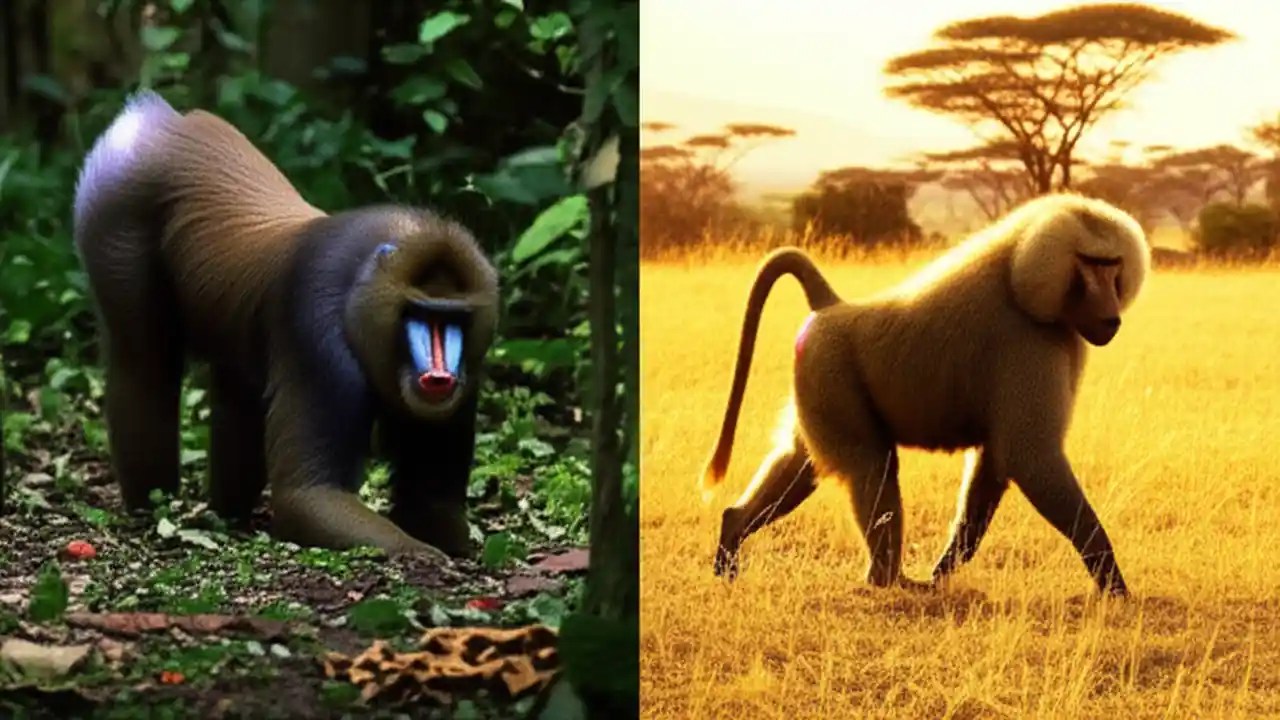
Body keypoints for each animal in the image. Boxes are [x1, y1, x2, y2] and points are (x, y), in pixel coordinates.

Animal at [72, 91, 499, 560]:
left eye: (453, 317)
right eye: (418, 313)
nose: (440, 374)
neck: (362, 286)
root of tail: (162, 123)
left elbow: (430, 503)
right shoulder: (321, 346)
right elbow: (307, 496)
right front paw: (426, 557)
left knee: (238, 400)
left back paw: (227, 517)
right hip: (117, 222)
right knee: (144, 368)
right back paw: (152, 509)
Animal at [702, 193, 1150, 596]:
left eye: (1113, 265)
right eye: (1091, 264)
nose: (1112, 318)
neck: (1017, 273)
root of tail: (832, 307)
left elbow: (993, 465)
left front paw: (942, 571)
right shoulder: (1029, 346)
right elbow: (1030, 458)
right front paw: (1116, 588)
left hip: (818, 380)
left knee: (801, 461)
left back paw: (732, 533)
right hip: (831, 374)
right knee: (871, 465)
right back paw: (885, 580)